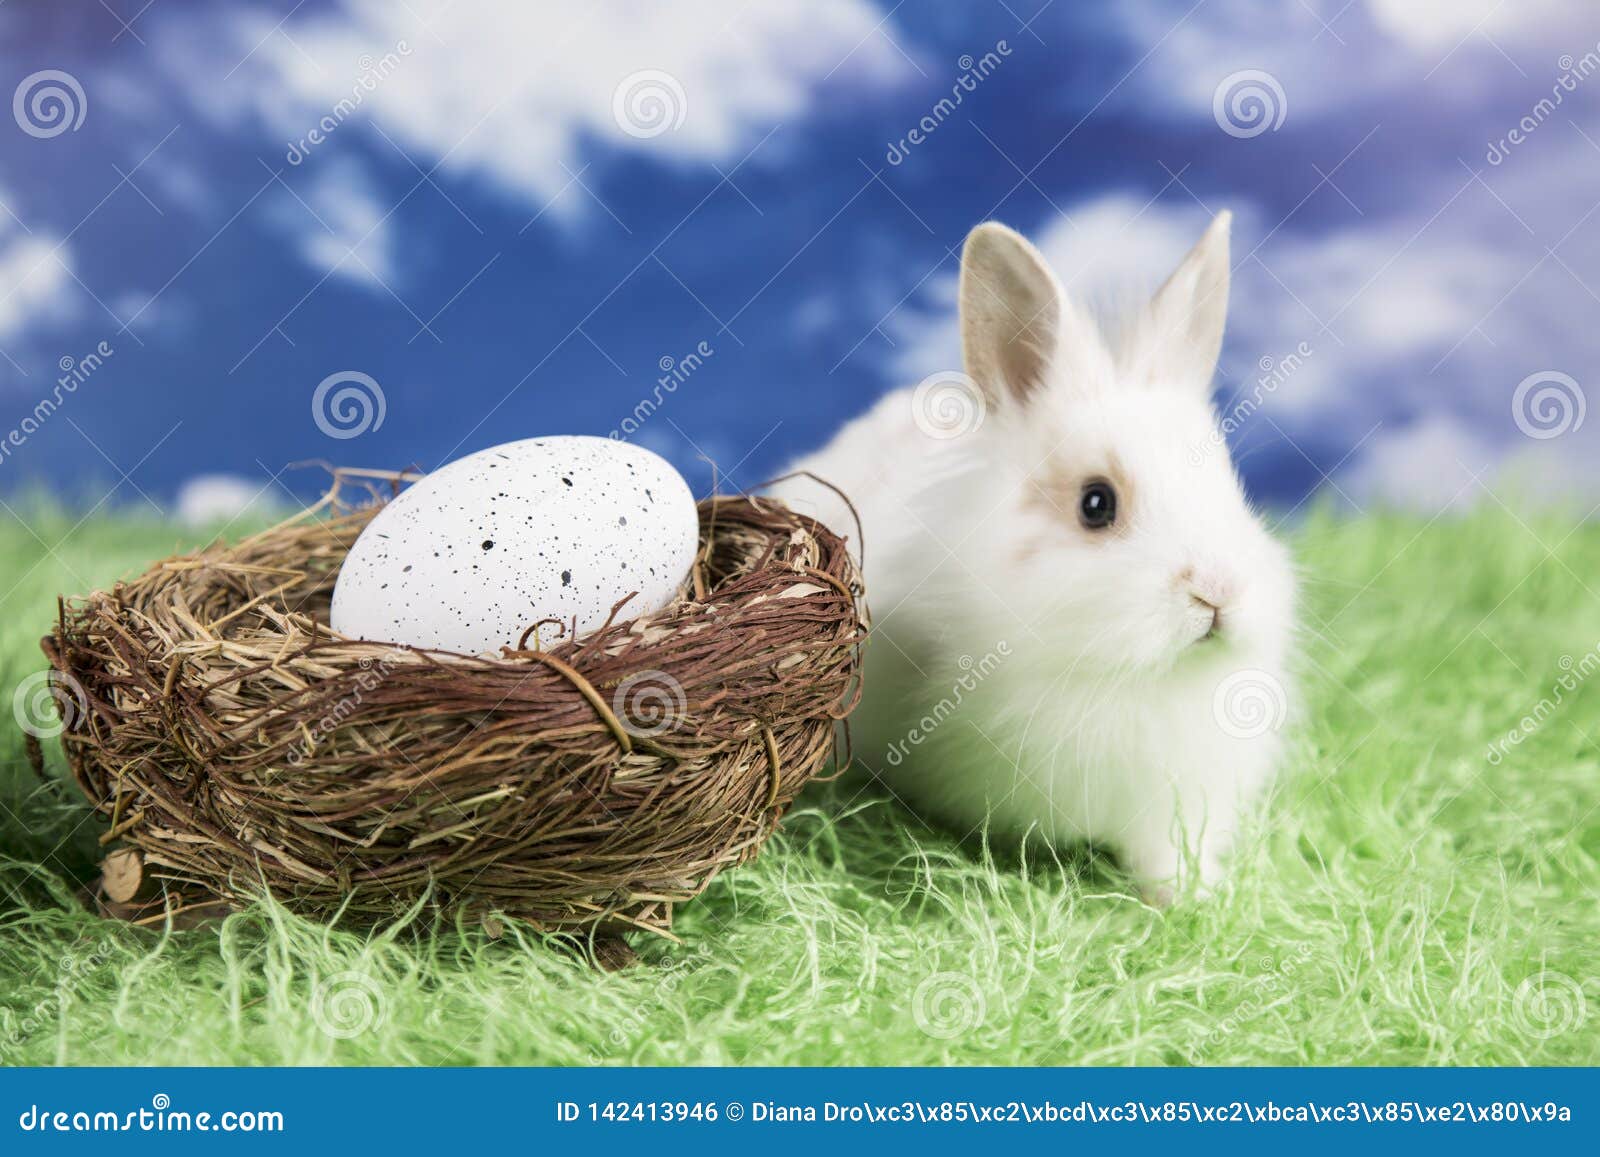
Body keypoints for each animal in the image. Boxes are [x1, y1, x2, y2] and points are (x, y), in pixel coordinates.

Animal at [771, 212, 1296, 901]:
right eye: (1096, 504)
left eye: (1233, 490)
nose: (1218, 589)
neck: (1127, 678)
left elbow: (1167, 852)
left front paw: (1188, 895)